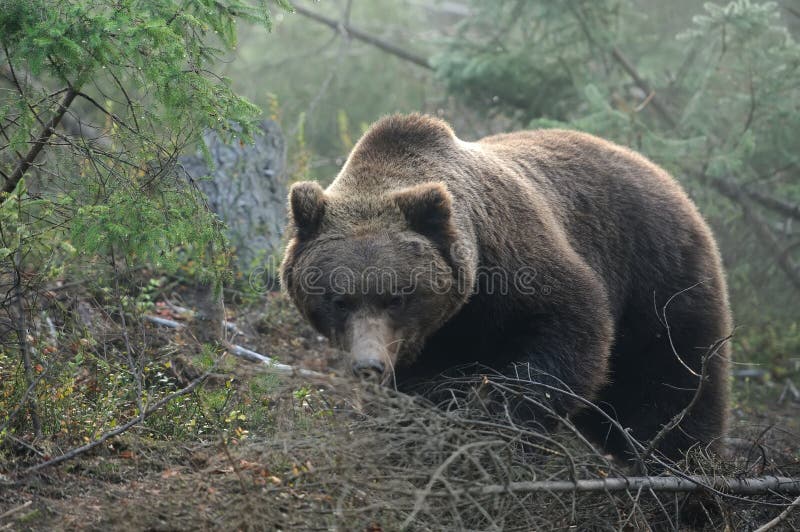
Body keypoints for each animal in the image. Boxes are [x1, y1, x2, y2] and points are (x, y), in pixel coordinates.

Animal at [279, 113, 732, 460]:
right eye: (339, 300)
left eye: (397, 297)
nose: (368, 365)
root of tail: (670, 180)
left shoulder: (516, 266)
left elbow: (566, 331)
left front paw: (497, 418)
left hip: (658, 282)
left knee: (670, 388)